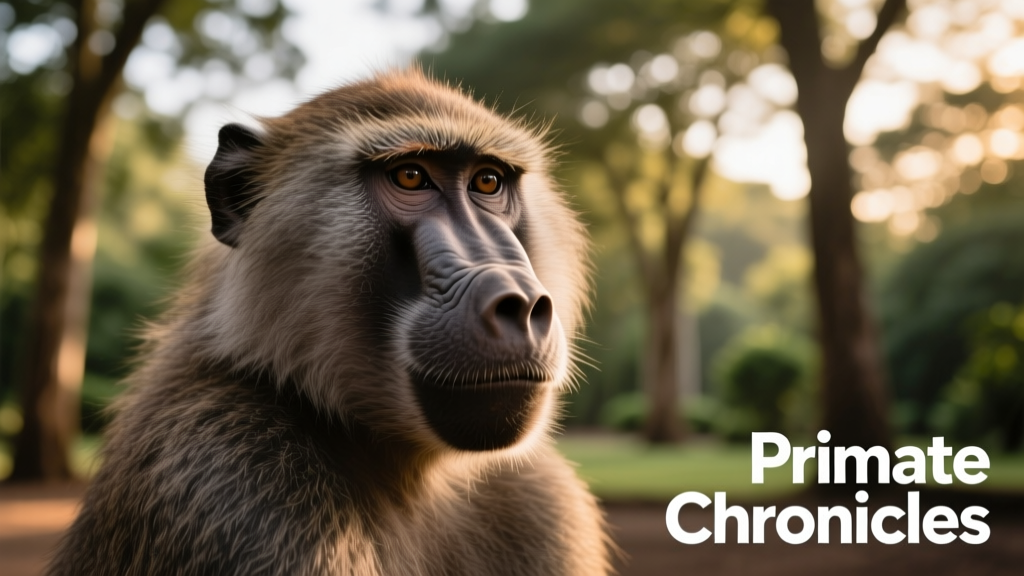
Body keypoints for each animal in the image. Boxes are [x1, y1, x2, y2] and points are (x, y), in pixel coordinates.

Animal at [46, 69, 612, 576]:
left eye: (487, 181)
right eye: (411, 176)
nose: (519, 302)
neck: (412, 473)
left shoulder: (541, 499)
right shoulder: (232, 479)